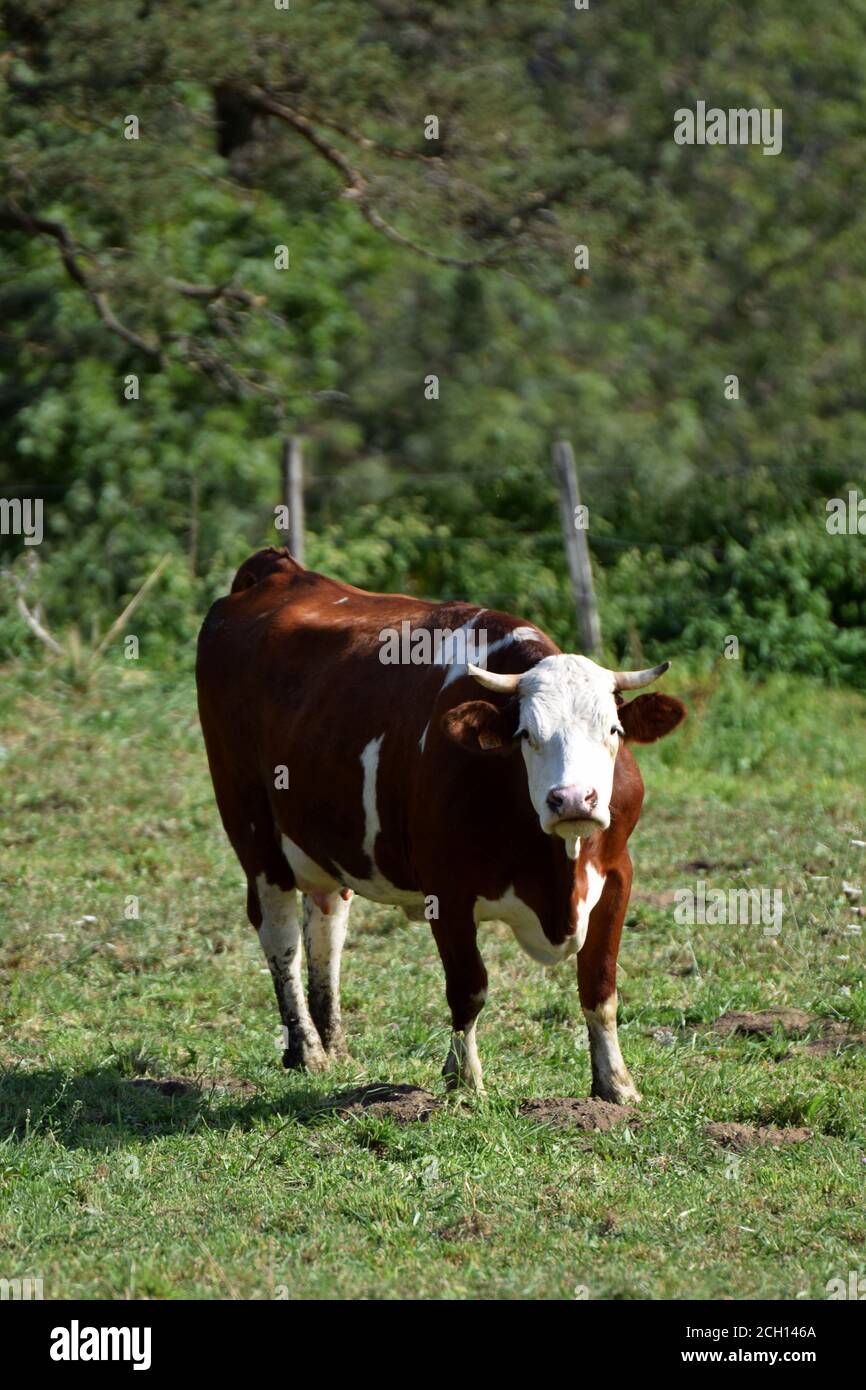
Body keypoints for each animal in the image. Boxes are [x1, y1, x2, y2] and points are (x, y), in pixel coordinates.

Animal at [196, 547, 686, 1102]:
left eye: (615, 729)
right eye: (526, 733)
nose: (573, 800)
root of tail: (279, 569)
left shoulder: (618, 874)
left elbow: (599, 986)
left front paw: (615, 1084)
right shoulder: (446, 890)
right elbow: (469, 988)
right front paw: (464, 1080)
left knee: (326, 925)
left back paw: (336, 1044)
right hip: (252, 827)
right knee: (279, 934)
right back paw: (308, 1050)